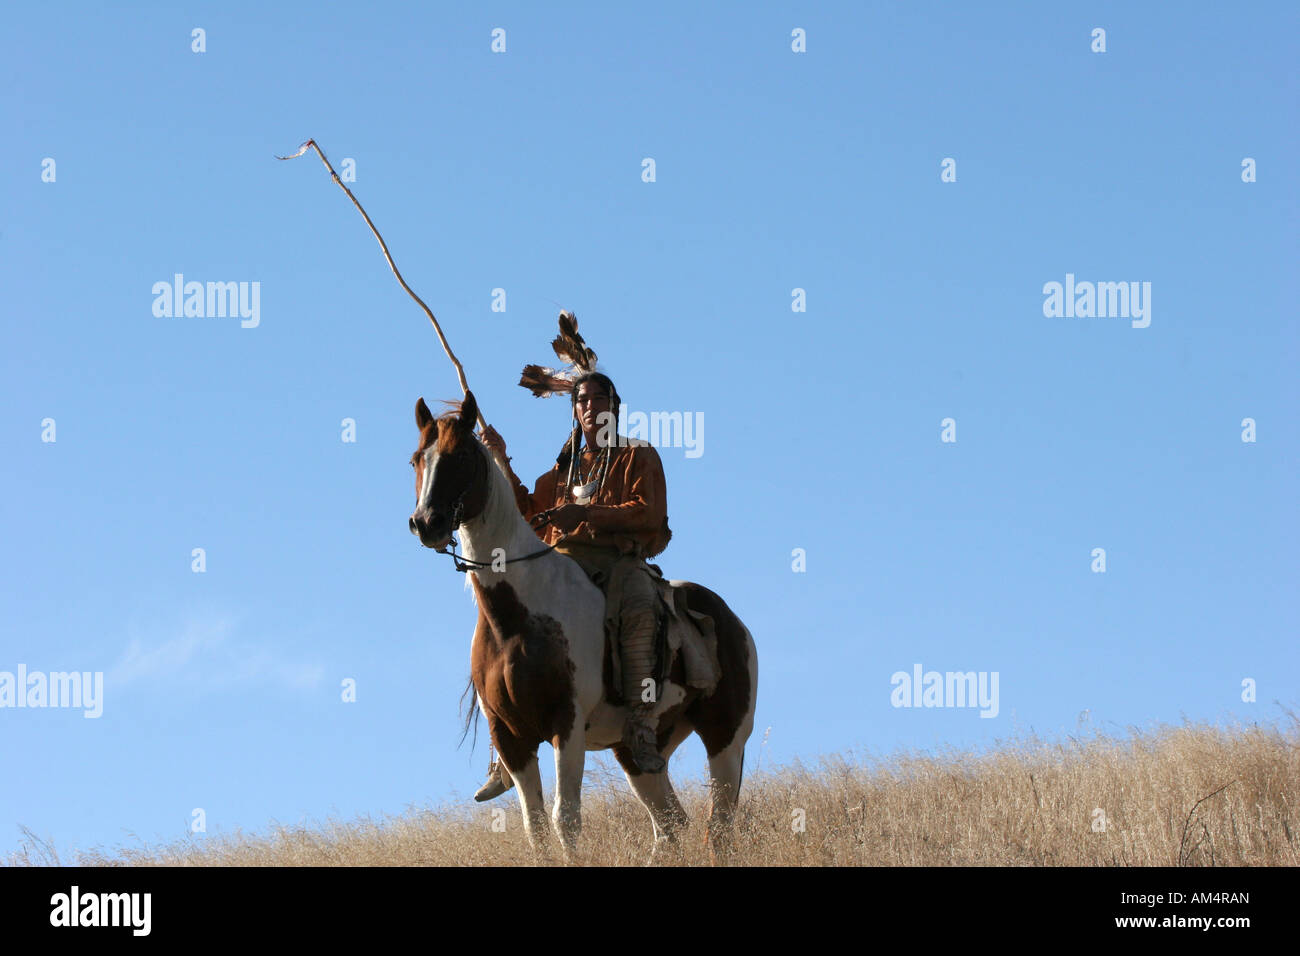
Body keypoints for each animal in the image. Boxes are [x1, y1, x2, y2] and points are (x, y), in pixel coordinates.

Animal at [408, 390, 758, 861]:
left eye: (460, 456)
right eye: (417, 459)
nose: (426, 523)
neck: (516, 616)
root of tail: (733, 622)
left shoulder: (566, 724)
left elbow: (565, 819)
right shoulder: (511, 737)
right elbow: (535, 826)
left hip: (726, 736)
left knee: (717, 827)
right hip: (638, 753)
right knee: (670, 826)